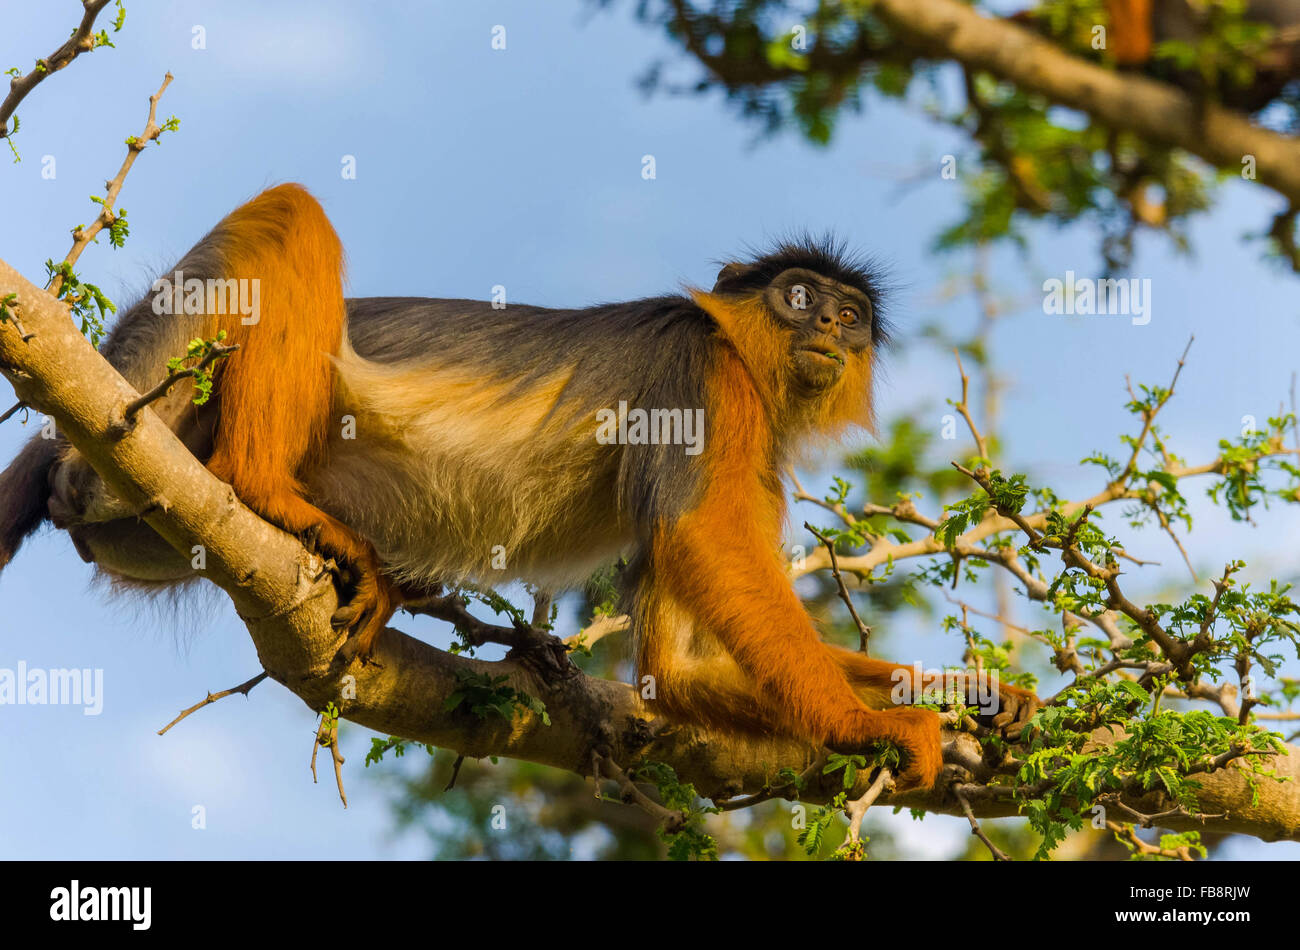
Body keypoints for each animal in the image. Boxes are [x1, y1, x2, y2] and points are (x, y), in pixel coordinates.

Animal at [0, 185, 1039, 790]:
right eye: (798, 298)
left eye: (850, 316)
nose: (827, 324)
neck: (742, 355)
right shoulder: (701, 380)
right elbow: (705, 545)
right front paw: (868, 725)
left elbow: (681, 672)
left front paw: (972, 696)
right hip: (161, 385)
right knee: (292, 211)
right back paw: (260, 488)